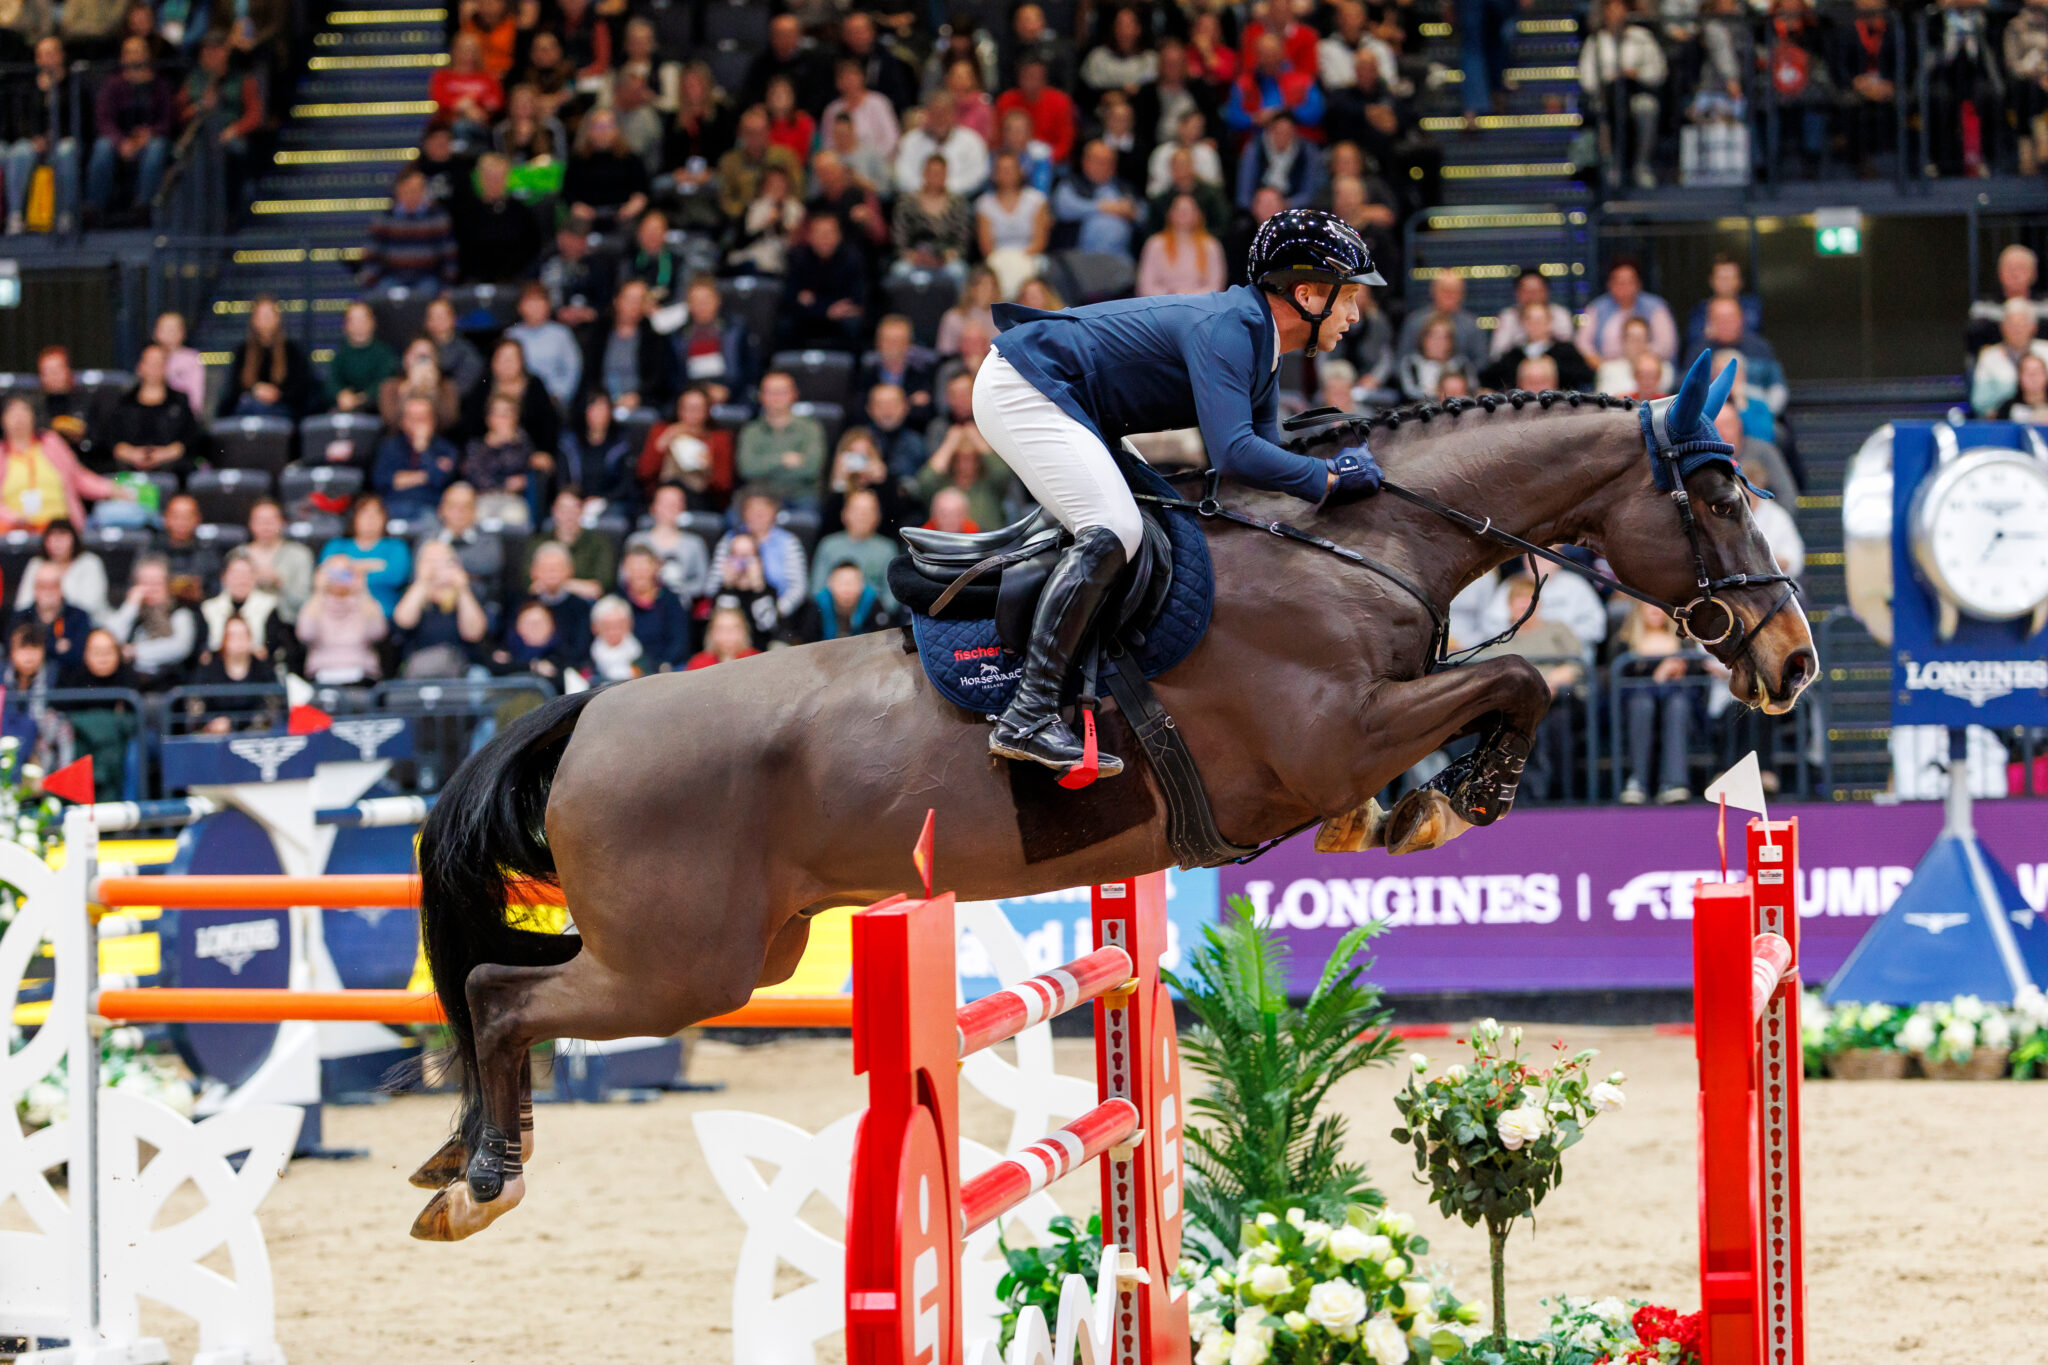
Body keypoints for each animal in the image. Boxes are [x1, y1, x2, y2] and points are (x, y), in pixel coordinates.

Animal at [406, 365, 1817, 1240]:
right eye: (1713, 496)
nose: (1792, 663)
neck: (1355, 547)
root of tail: (587, 713)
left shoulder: (1366, 720)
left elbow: (1488, 689)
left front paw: (1409, 810)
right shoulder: (1327, 734)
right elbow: (1516, 677)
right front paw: (1458, 795)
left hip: (734, 954)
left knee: (499, 996)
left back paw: (452, 1160)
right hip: (682, 966)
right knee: (497, 993)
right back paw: (478, 1177)